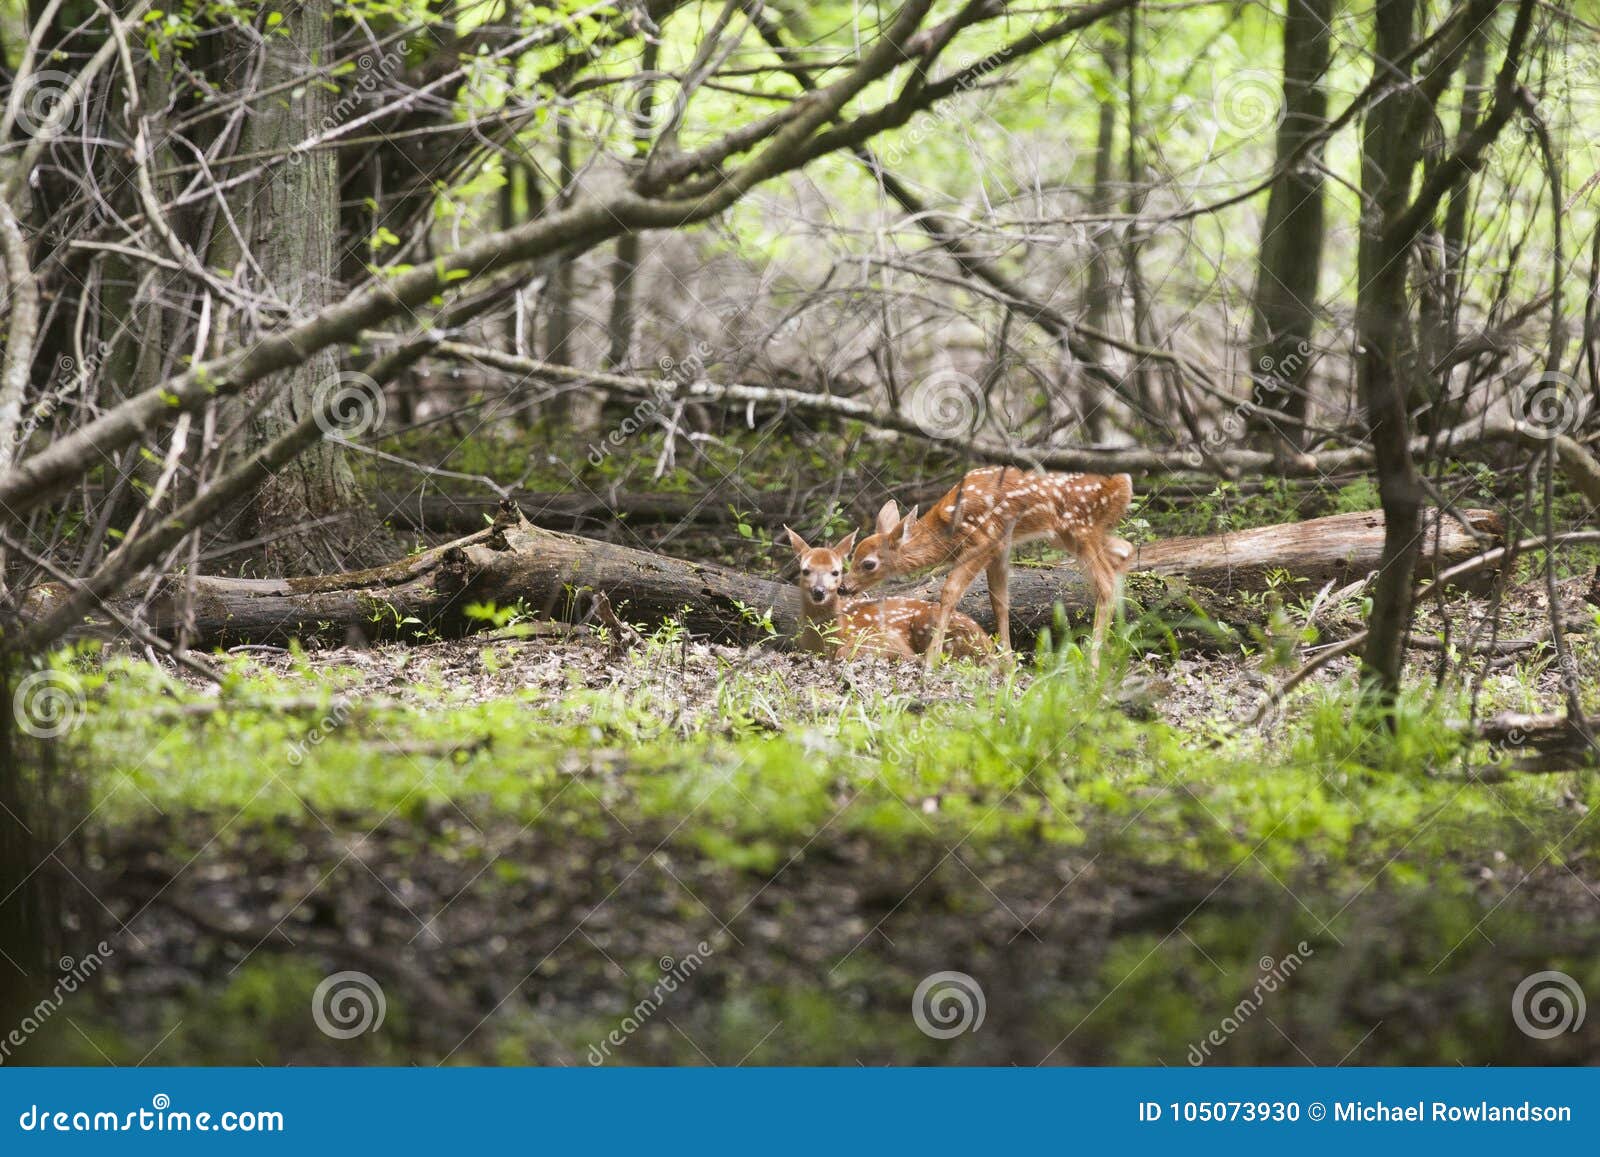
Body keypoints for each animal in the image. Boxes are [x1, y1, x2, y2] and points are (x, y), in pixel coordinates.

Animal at [840, 466, 1135, 668]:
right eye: (852, 556)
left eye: (868, 564)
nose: (843, 587)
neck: (949, 527)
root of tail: (1126, 482)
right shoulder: (1001, 546)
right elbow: (999, 600)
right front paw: (1008, 661)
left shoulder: (984, 539)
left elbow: (950, 590)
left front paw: (931, 659)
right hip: (1067, 534)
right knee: (1125, 551)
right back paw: (1117, 644)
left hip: (1081, 527)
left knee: (1106, 583)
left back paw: (1094, 660)